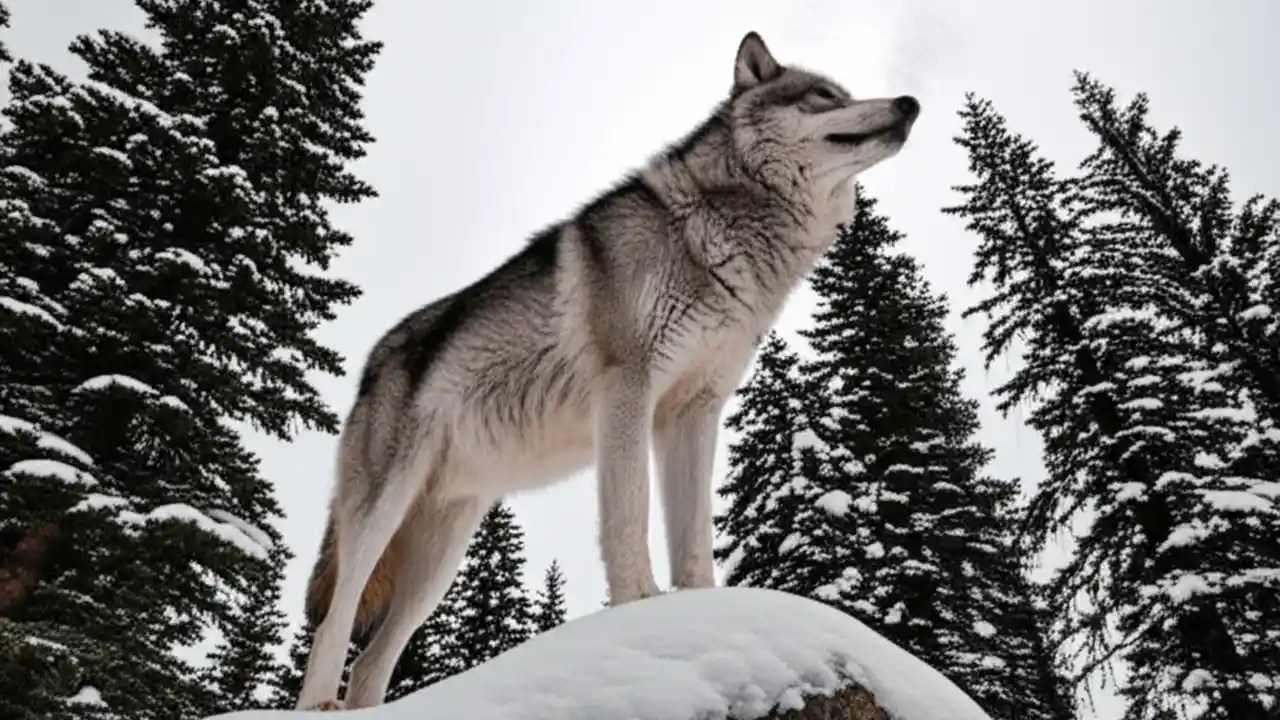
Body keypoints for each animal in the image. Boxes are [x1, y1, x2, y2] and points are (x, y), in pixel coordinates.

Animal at [295, 31, 919, 710]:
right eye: (825, 97)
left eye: (846, 94)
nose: (909, 103)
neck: (730, 235)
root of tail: (371, 364)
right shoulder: (629, 388)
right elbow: (629, 518)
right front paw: (641, 608)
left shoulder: (693, 412)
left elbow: (692, 533)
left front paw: (700, 610)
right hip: (383, 514)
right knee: (333, 622)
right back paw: (315, 704)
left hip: (442, 557)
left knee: (371, 662)